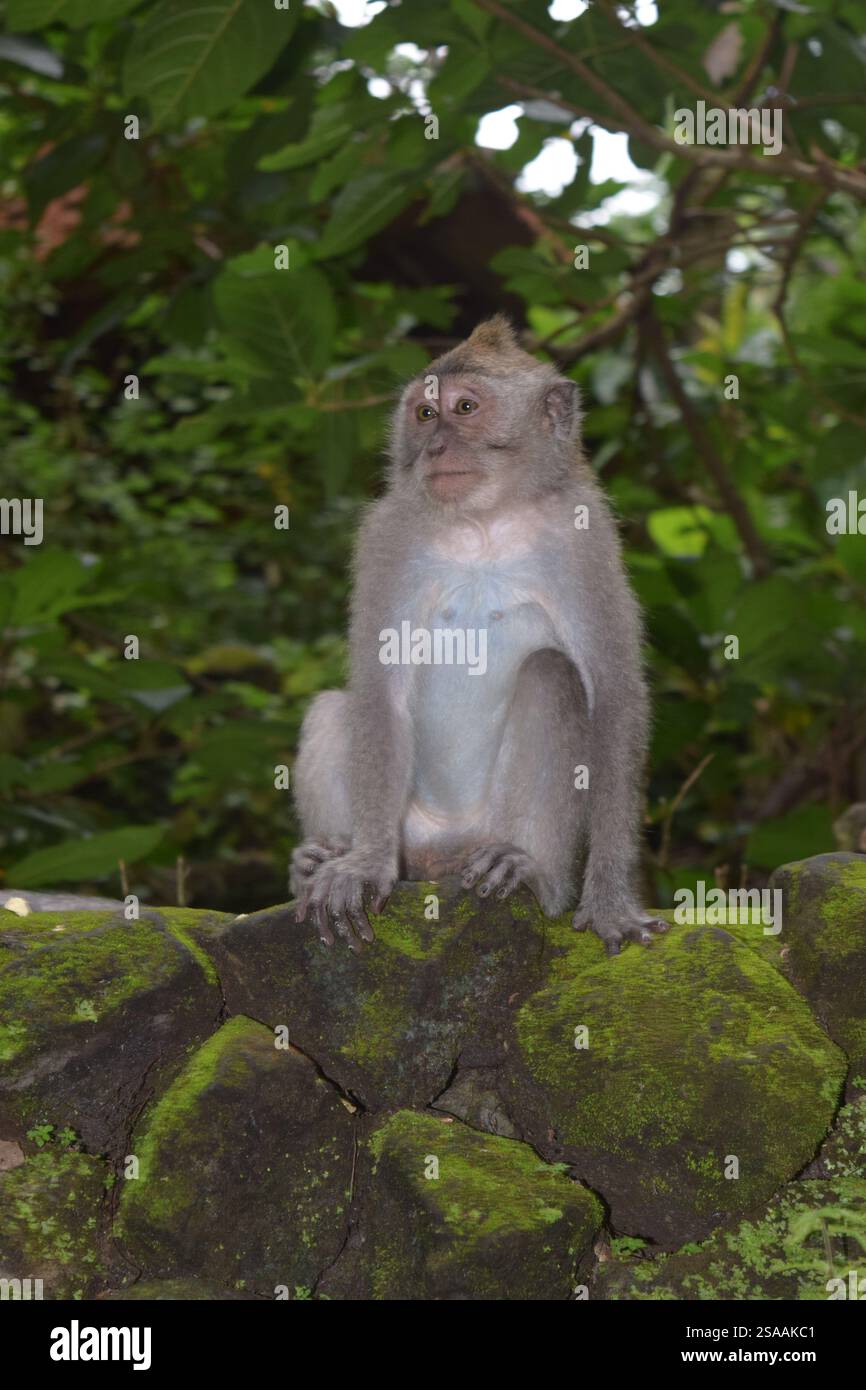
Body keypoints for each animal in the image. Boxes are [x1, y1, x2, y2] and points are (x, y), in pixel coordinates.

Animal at [291, 316, 667, 956]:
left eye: (465, 408)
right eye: (424, 414)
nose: (435, 447)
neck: (482, 522)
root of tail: (444, 852)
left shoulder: (584, 535)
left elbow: (615, 695)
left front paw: (610, 903)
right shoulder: (388, 536)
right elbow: (378, 691)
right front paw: (363, 865)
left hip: (487, 831)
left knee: (551, 675)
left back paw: (528, 871)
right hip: (412, 830)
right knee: (336, 708)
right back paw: (320, 857)